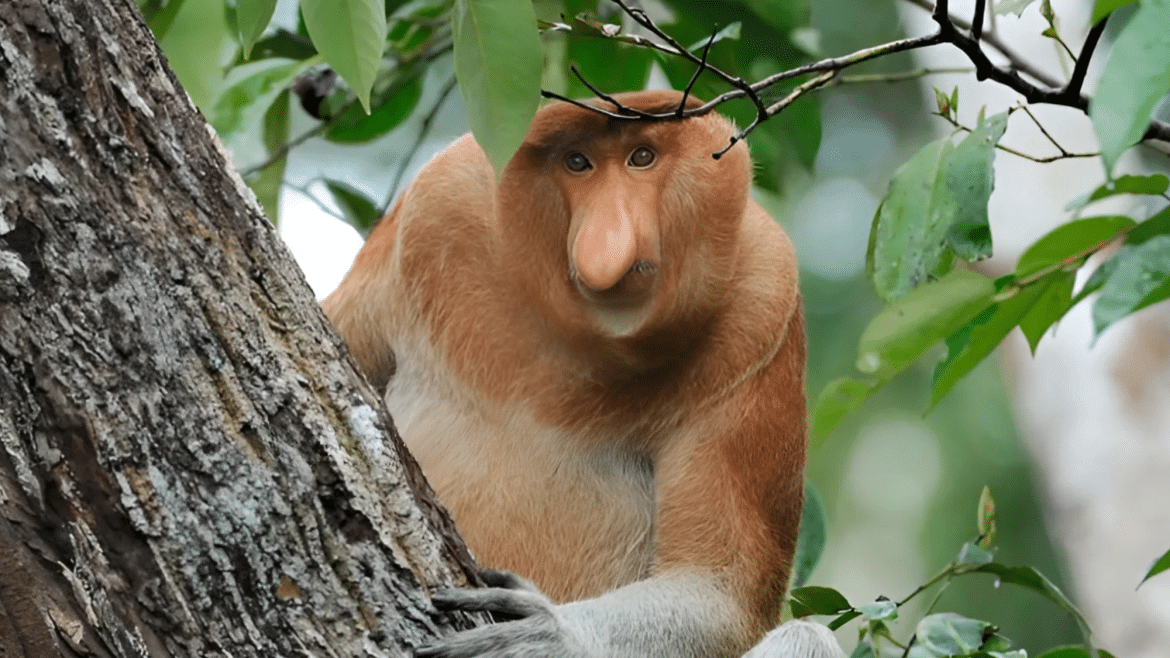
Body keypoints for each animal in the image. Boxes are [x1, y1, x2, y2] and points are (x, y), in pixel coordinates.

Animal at [322, 89, 843, 658]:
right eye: (578, 163)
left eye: (642, 157)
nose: (605, 245)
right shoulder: (438, 202)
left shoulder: (763, 306)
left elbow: (720, 590)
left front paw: (548, 635)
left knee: (807, 634)